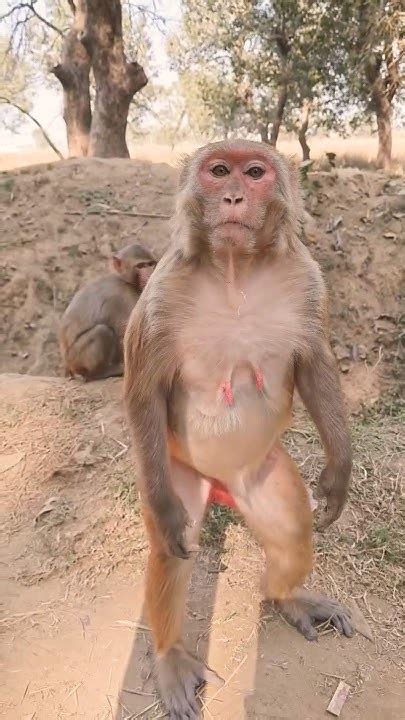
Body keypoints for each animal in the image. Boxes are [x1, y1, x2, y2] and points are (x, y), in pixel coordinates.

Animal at [59, 242, 156, 381]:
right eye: (140, 266)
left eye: (150, 264)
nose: (150, 273)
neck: (124, 280)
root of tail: (68, 365)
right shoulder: (121, 298)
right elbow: (127, 335)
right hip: (76, 358)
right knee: (102, 331)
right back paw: (98, 373)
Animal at [123, 140, 353, 719]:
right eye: (218, 171)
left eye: (254, 173)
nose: (231, 196)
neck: (234, 270)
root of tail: (222, 486)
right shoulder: (162, 290)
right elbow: (144, 391)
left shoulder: (307, 279)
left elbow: (314, 365)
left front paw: (339, 473)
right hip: (175, 468)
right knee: (171, 548)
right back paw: (170, 656)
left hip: (261, 471)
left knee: (291, 529)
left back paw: (288, 597)